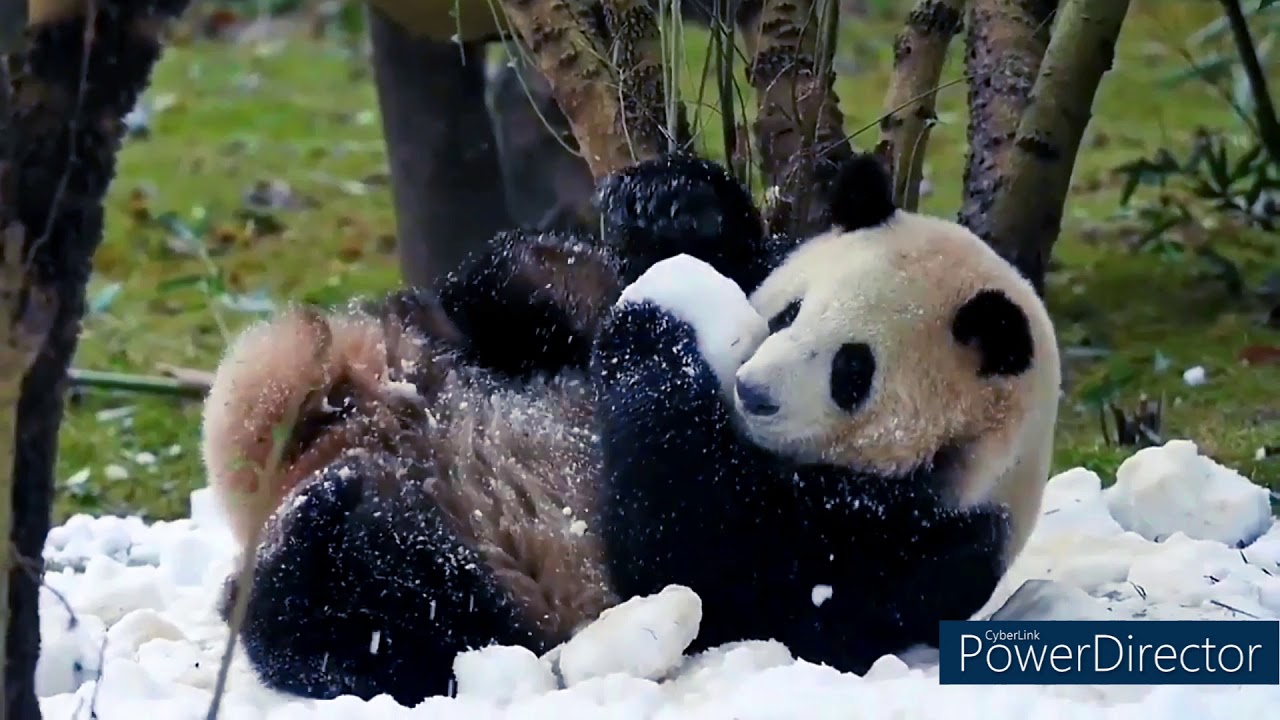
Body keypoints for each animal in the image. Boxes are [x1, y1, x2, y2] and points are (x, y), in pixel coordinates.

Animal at [200, 151, 1059, 707]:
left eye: (854, 370)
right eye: (787, 313)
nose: (751, 389)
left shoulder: (920, 536)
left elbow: (708, 563)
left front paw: (658, 323)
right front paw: (674, 209)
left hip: (480, 574)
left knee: (375, 606)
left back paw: (320, 534)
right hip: (439, 354)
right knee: (508, 291)